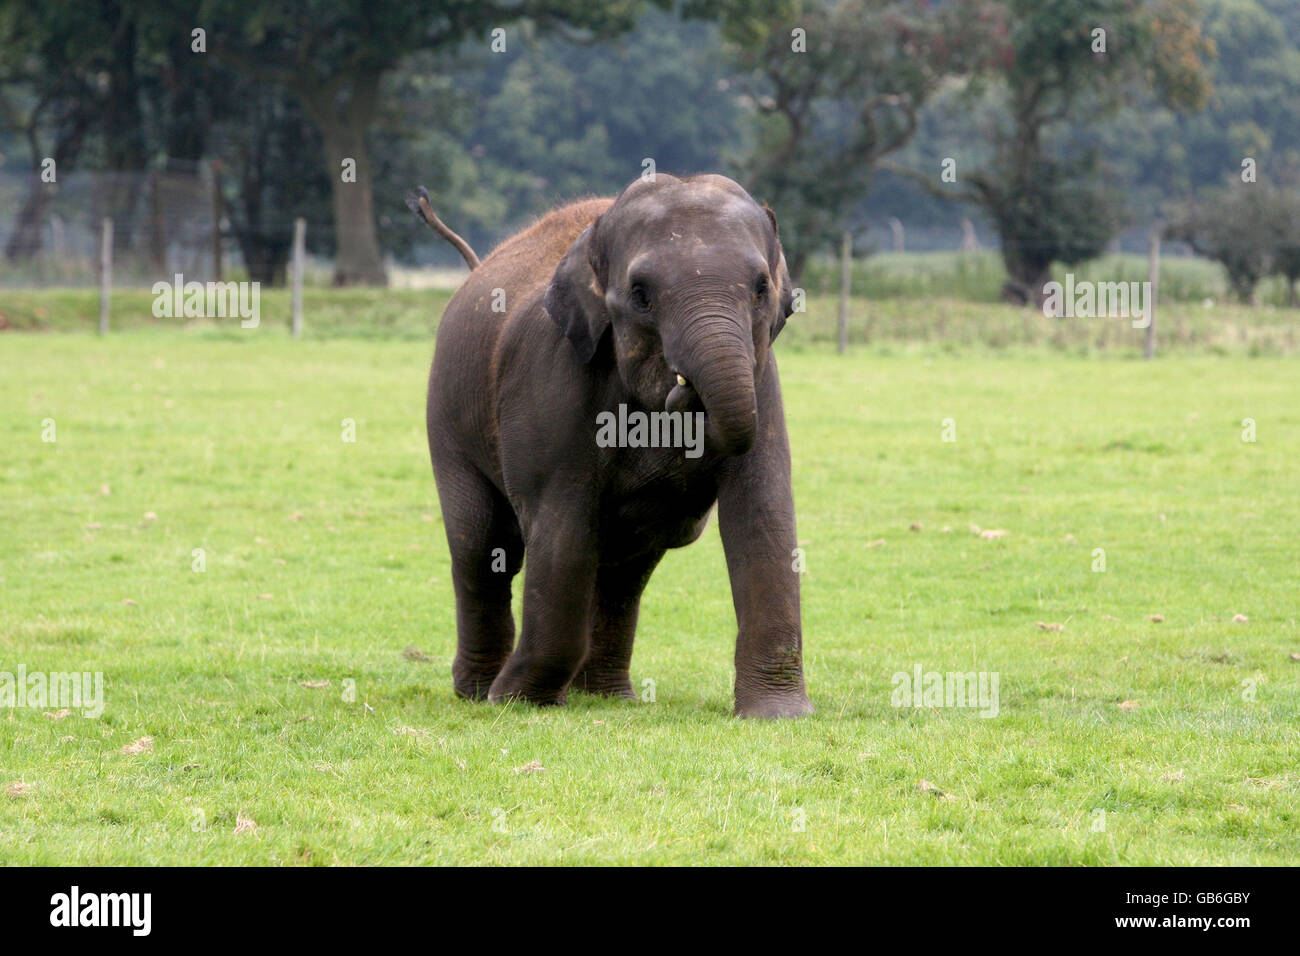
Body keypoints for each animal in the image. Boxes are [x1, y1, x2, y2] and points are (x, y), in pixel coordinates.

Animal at [420, 173, 812, 718]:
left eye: (761, 289)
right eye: (641, 294)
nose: (683, 389)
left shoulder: (762, 377)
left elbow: (763, 517)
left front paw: (777, 716)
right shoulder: (553, 380)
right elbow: (562, 530)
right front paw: (516, 699)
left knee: (627, 567)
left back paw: (606, 696)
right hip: (449, 423)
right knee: (483, 546)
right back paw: (478, 691)